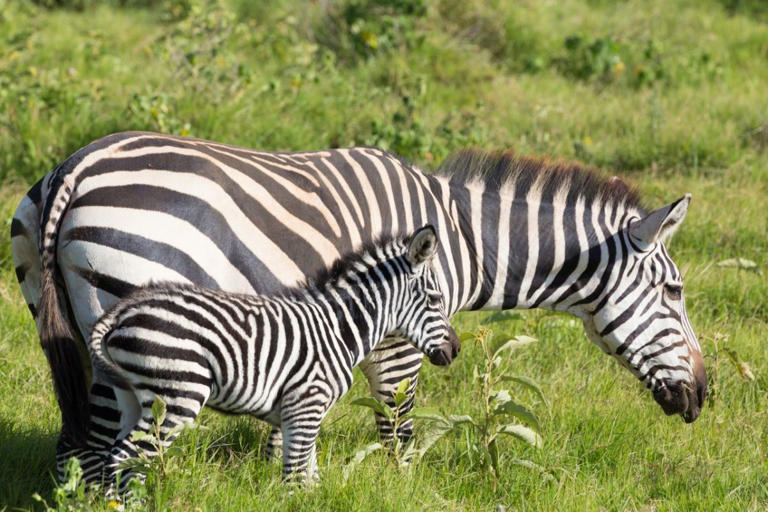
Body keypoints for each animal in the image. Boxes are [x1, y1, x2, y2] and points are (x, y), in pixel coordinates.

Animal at [86, 225, 457, 489]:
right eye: (435, 299)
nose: (456, 350)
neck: (339, 329)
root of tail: (123, 311)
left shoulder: (304, 413)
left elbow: (310, 476)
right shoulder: (306, 405)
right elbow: (294, 478)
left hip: (133, 397)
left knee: (116, 457)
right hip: (177, 395)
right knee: (129, 458)